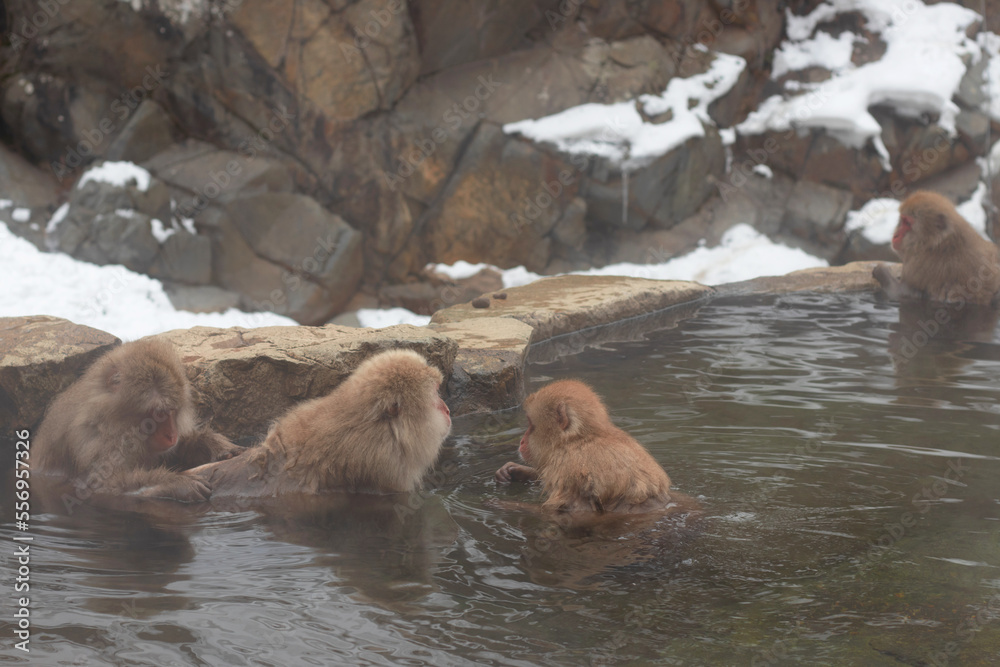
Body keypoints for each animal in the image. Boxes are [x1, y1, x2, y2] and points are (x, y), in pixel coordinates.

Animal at [34, 337, 241, 503]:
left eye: (172, 411)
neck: (111, 425)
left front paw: (213, 445)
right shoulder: (92, 444)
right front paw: (174, 483)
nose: (172, 435)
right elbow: (98, 487)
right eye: (158, 414)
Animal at [495, 380, 697, 515]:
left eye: (531, 425)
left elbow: (573, 510)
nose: (522, 441)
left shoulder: (569, 465)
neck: (577, 439)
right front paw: (515, 471)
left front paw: (505, 505)